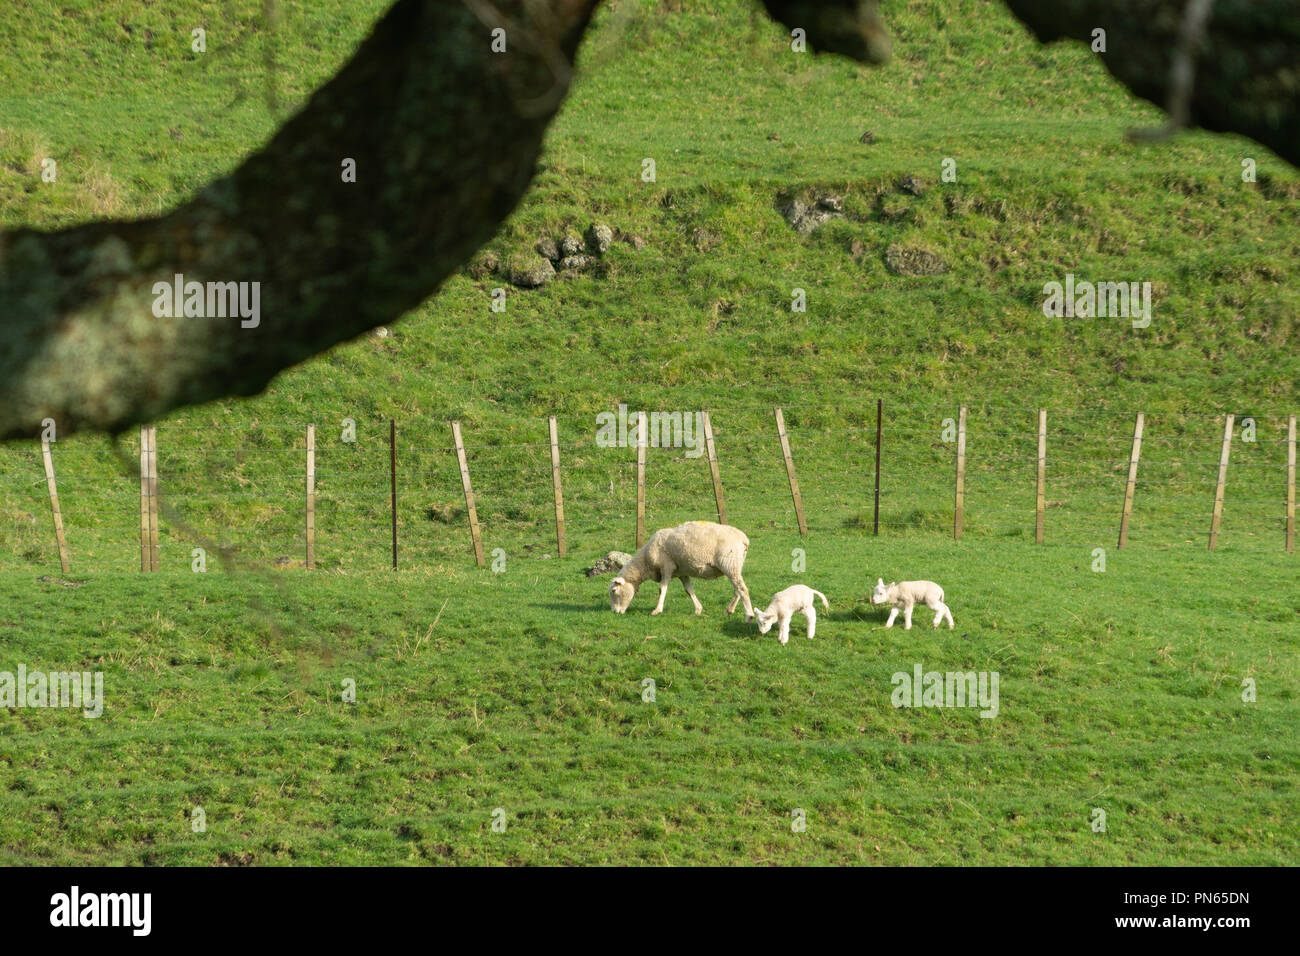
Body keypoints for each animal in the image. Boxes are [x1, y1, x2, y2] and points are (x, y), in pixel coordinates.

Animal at [608, 521, 753, 620]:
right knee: (737, 589)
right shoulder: (682, 573)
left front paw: (657, 610)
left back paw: (749, 615)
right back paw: (730, 609)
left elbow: (662, 589)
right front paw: (698, 609)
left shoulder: (666, 567)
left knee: (742, 589)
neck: (645, 563)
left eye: (614, 591)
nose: (614, 612)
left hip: (729, 563)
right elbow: (689, 590)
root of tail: (743, 538)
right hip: (735, 565)